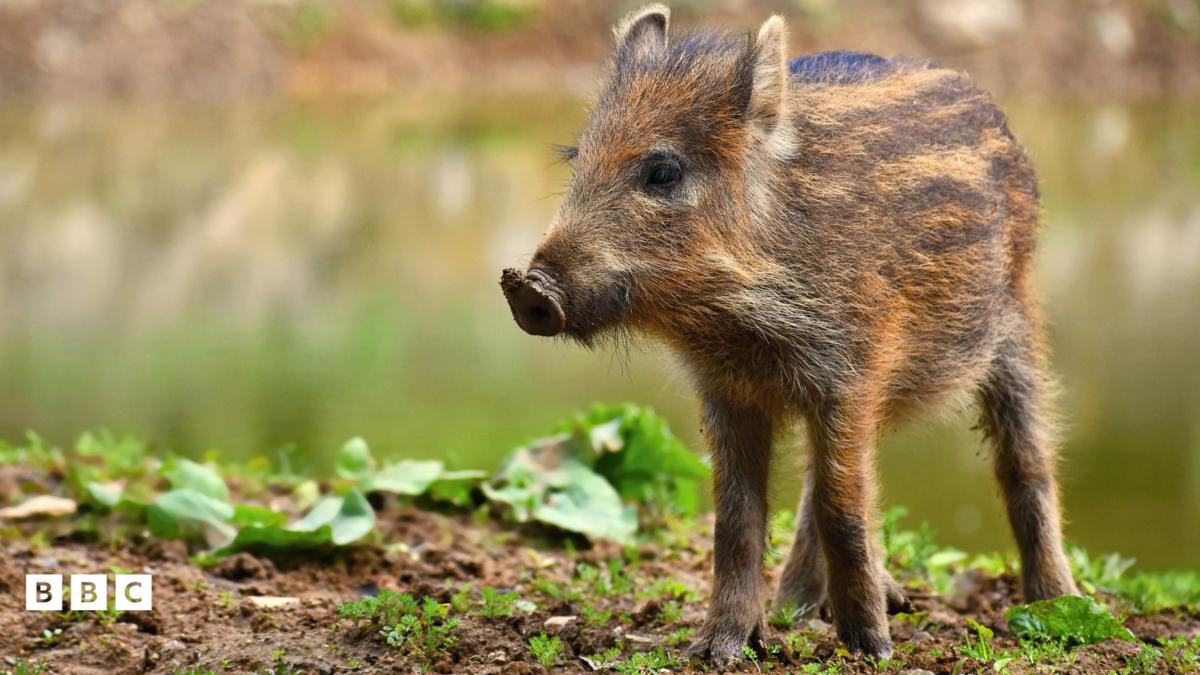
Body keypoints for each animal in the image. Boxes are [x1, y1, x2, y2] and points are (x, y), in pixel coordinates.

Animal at [500, 4, 1078, 663]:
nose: (527, 287)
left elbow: (841, 506)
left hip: (1016, 327)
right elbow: (736, 516)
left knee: (1024, 461)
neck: (737, 323)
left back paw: (1056, 605)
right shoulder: (726, 390)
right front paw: (717, 650)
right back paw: (796, 608)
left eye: (663, 171)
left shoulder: (852, 372)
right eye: (578, 157)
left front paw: (872, 649)